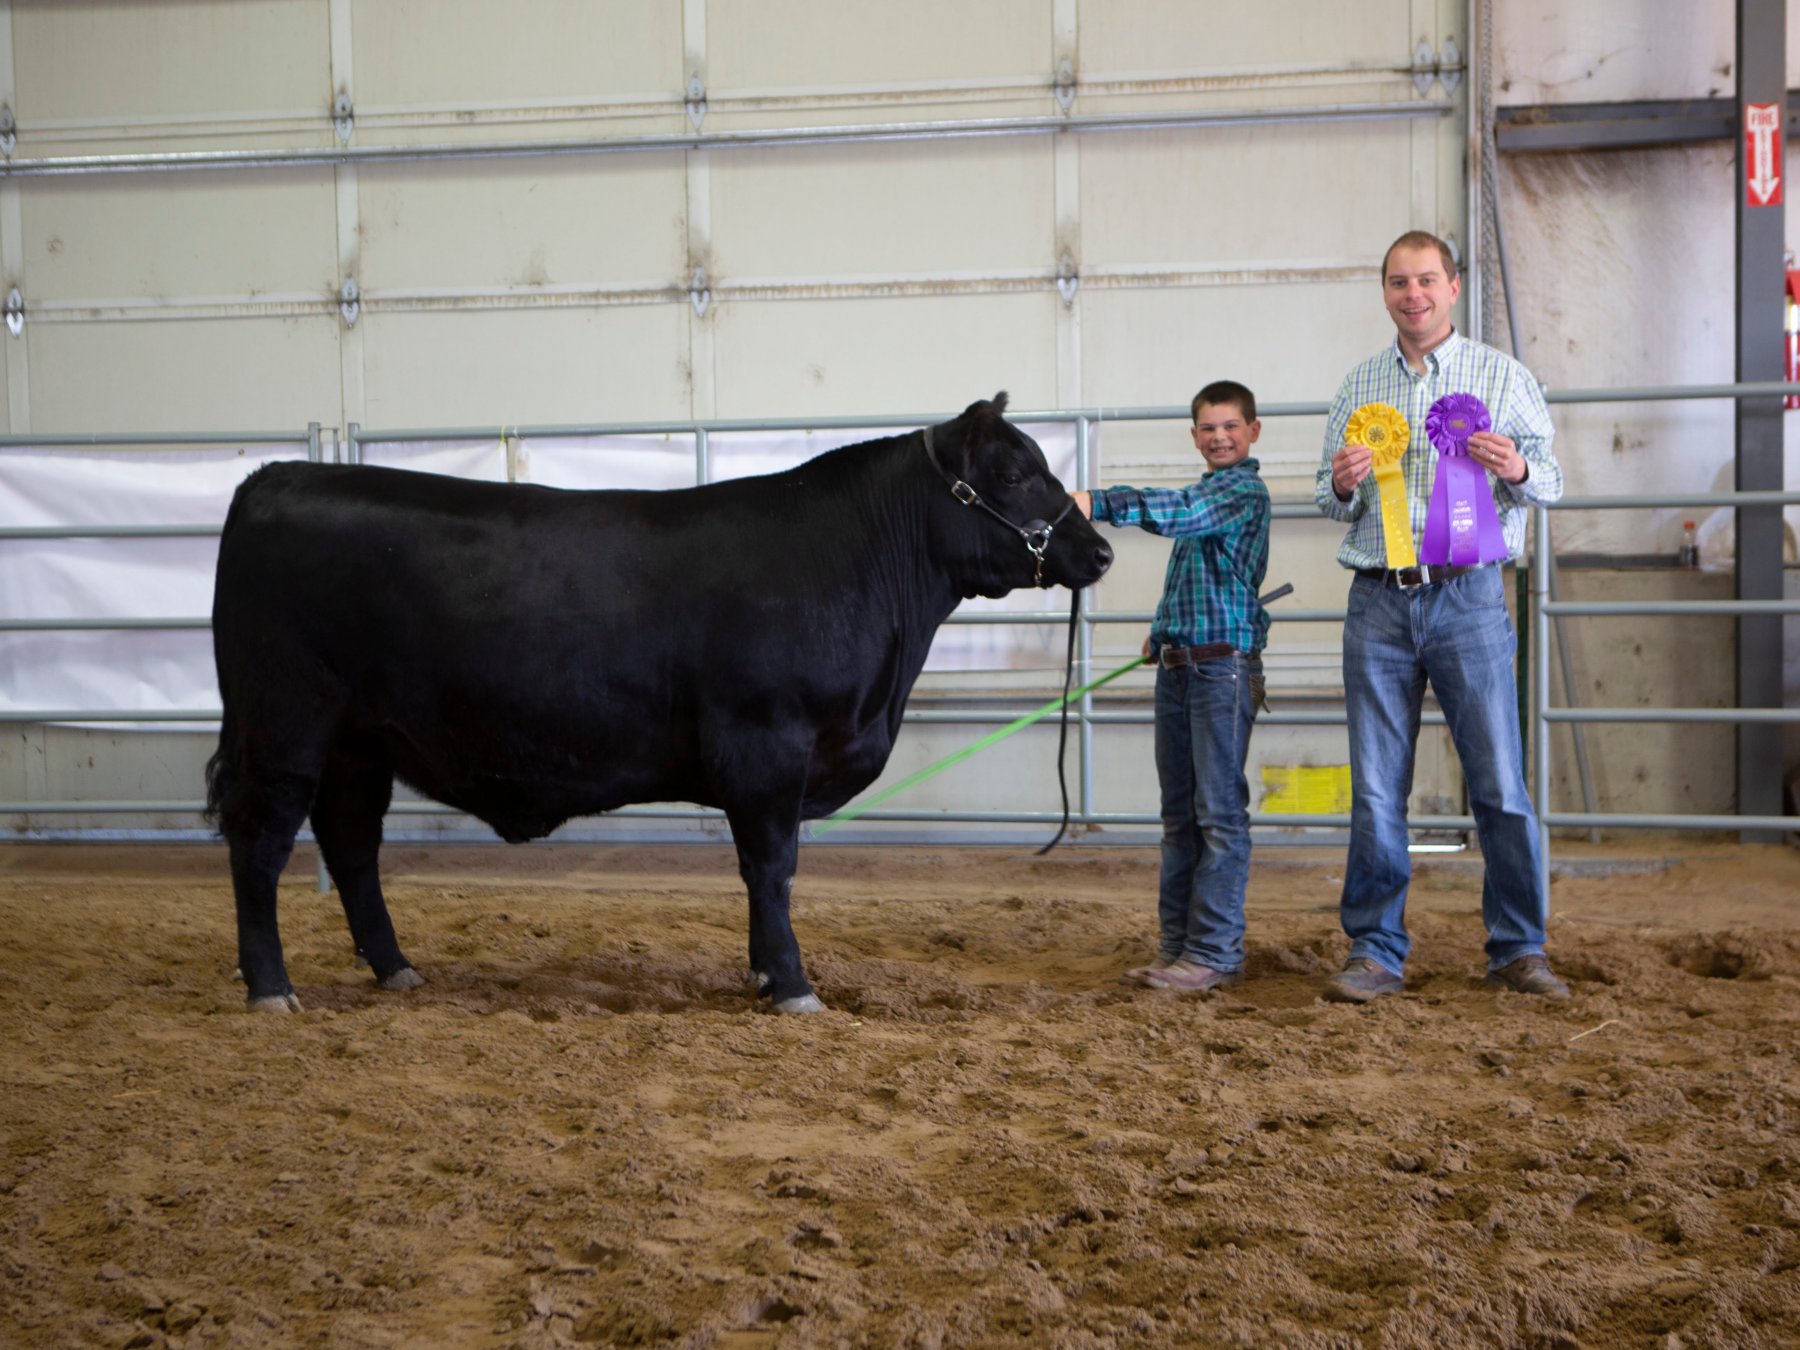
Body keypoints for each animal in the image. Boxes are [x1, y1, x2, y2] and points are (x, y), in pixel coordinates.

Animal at [205, 393, 1113, 1015]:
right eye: (1011, 473)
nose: (1099, 550)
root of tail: (274, 477)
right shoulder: (767, 746)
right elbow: (773, 867)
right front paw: (790, 984)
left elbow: (763, 872)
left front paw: (764, 973)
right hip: (285, 723)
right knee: (261, 842)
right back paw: (271, 987)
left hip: (359, 742)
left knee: (352, 844)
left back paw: (396, 967)